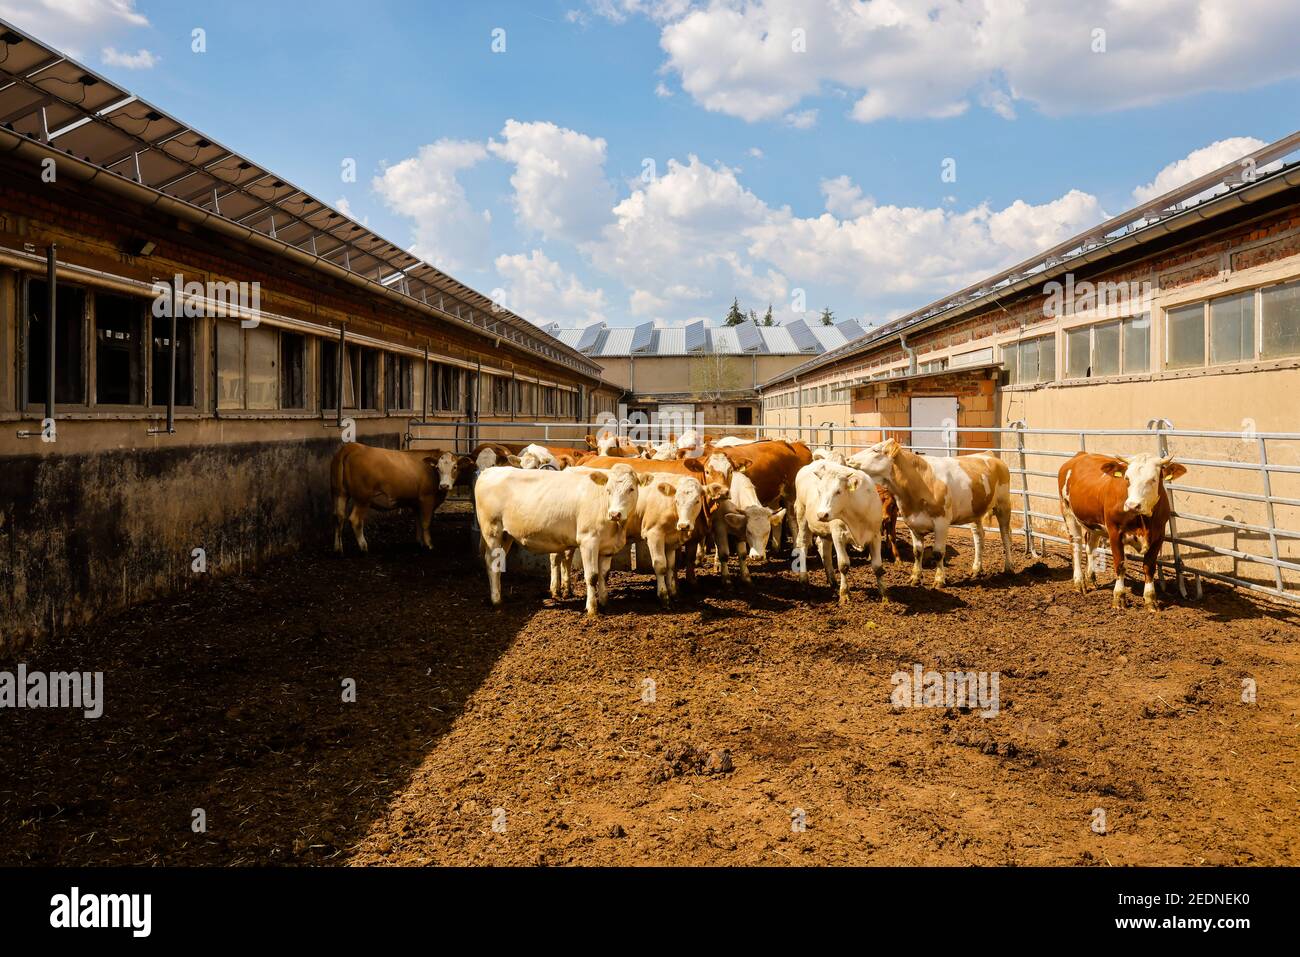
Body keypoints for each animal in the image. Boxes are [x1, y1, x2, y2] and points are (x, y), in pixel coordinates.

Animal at [330, 443, 466, 554]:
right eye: (437, 468)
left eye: (455, 467)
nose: (444, 485)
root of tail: (352, 446)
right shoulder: (427, 498)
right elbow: (425, 522)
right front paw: (429, 545)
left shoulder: (416, 503)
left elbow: (418, 521)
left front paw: (420, 542)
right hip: (362, 498)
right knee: (355, 519)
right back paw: (363, 547)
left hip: (339, 493)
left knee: (338, 516)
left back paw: (338, 549)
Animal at [474, 462, 649, 616]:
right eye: (608, 490)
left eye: (631, 489)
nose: (615, 514)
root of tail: (489, 471)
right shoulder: (588, 541)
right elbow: (592, 576)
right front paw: (592, 609)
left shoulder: (607, 548)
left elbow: (604, 575)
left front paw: (604, 603)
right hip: (492, 530)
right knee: (491, 562)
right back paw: (496, 600)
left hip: (506, 535)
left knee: (498, 562)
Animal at [793, 460, 887, 604]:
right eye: (819, 491)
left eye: (838, 491)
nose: (822, 514)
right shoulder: (838, 536)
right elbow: (843, 565)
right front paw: (844, 594)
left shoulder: (875, 536)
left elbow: (877, 567)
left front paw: (883, 595)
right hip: (802, 516)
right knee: (803, 545)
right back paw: (804, 581)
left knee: (824, 548)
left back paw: (832, 580)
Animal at [848, 439, 1015, 588]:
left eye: (876, 450)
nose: (849, 459)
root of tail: (988, 454)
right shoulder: (912, 523)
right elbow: (917, 551)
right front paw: (915, 577)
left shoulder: (942, 522)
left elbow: (938, 553)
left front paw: (940, 580)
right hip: (975, 511)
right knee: (979, 536)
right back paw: (976, 569)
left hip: (1004, 505)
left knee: (1005, 536)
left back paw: (1009, 567)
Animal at [1057, 452, 1186, 611]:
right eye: (1127, 478)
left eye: (1153, 479)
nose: (1132, 505)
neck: (1142, 521)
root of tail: (1081, 454)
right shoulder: (1115, 533)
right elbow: (1120, 565)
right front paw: (1119, 598)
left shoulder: (1159, 536)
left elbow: (1149, 567)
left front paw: (1151, 600)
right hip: (1067, 510)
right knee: (1076, 545)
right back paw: (1079, 583)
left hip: (1094, 524)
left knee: (1090, 547)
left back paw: (1091, 579)